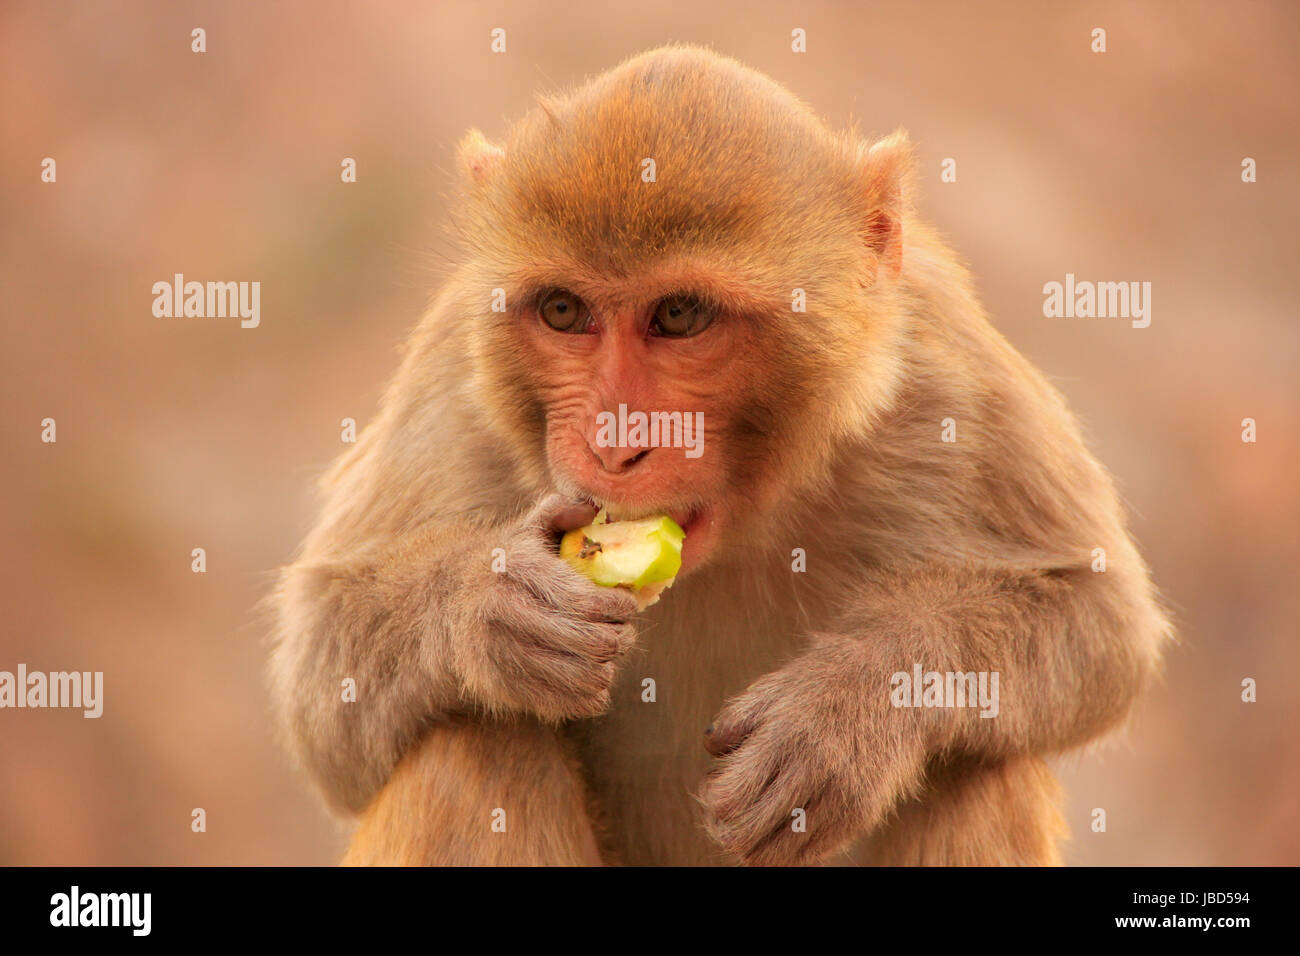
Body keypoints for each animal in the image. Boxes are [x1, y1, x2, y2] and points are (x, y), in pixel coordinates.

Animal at [268, 44, 1170, 866]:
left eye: (681, 315)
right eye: (562, 311)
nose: (613, 443)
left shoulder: (945, 367)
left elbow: (1097, 615)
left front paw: (850, 707)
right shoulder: (454, 376)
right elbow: (323, 692)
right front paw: (495, 609)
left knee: (978, 767)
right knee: (470, 740)